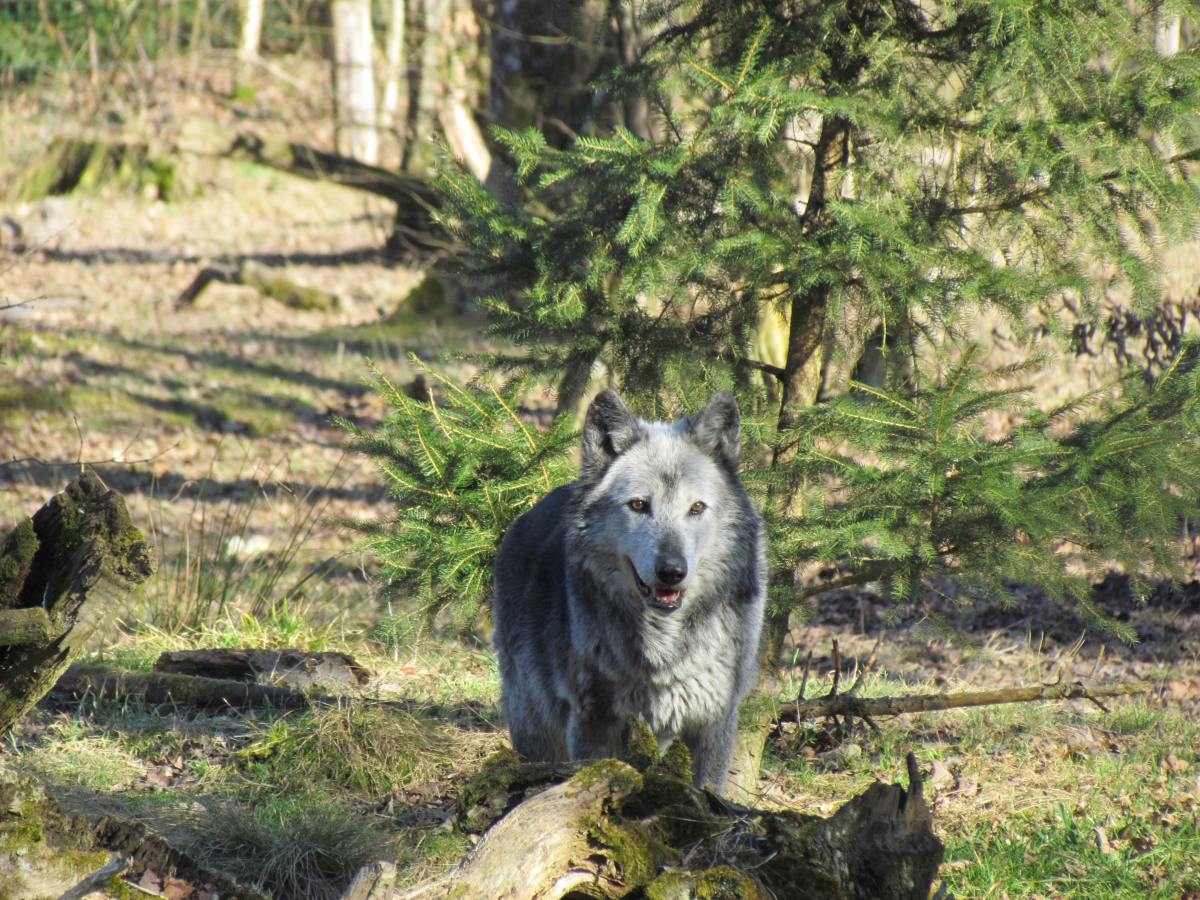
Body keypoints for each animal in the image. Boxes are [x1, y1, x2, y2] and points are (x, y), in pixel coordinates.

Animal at [492, 389, 766, 791]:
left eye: (696, 507)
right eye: (638, 505)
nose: (671, 572)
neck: (665, 646)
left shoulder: (713, 720)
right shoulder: (595, 721)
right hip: (535, 723)